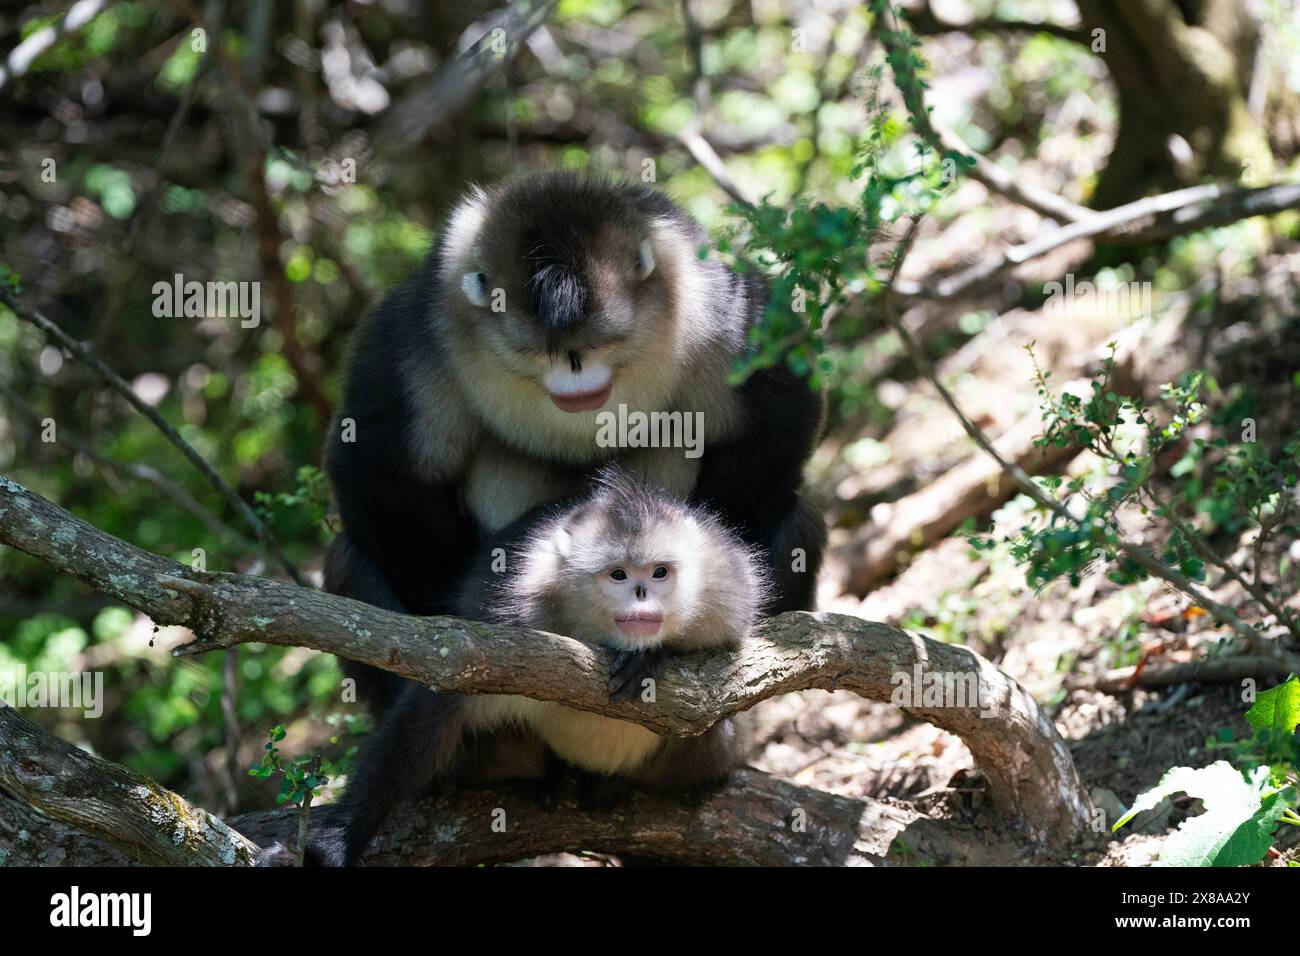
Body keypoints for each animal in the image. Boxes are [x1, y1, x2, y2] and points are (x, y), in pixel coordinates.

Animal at [259, 470, 766, 866]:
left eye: (659, 572)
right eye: (618, 575)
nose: (642, 597)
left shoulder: (725, 588)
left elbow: (721, 683)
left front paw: (650, 658)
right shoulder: (514, 621)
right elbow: (433, 710)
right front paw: (335, 843)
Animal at [321, 171, 827, 712]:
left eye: (600, 343)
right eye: (542, 353)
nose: (575, 368)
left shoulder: (718, 304)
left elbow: (777, 417)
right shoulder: (415, 335)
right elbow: (378, 468)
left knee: (799, 522)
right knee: (348, 557)